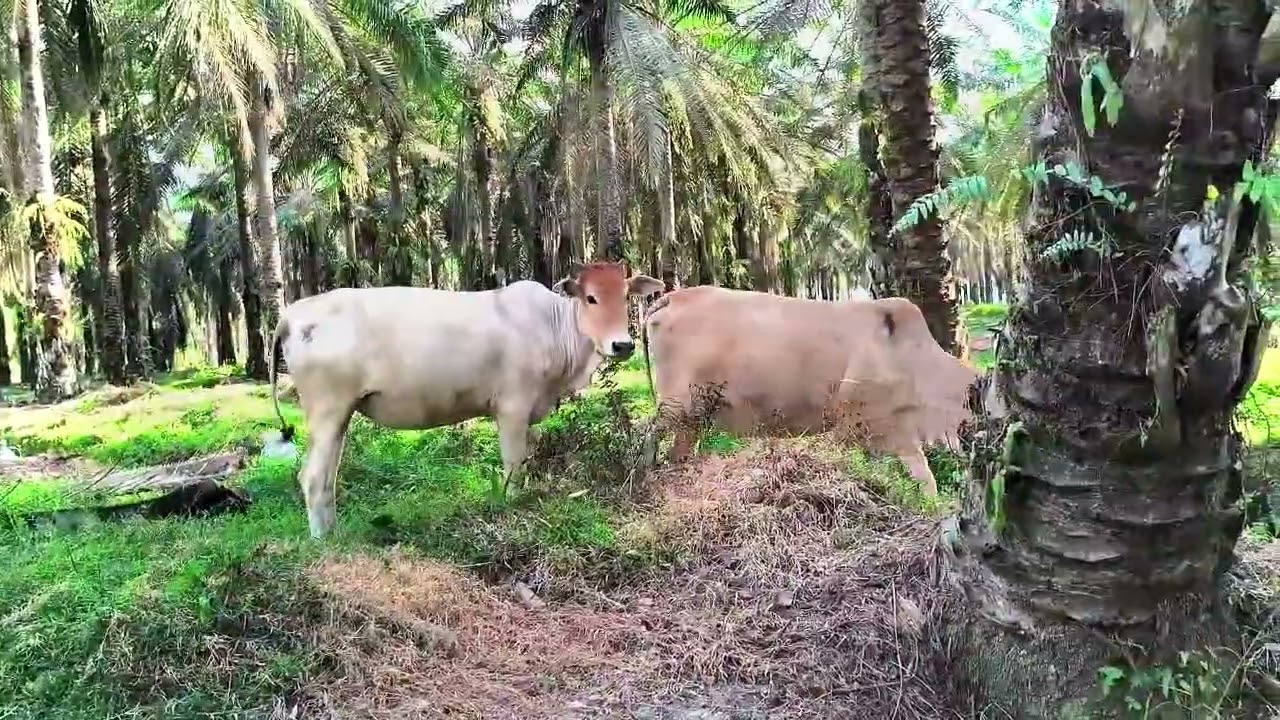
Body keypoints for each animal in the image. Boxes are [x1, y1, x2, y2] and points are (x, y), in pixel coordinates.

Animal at [269, 261, 666, 538]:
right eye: (591, 297)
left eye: (625, 296)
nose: (623, 344)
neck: (554, 327)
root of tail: (291, 315)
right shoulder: (512, 408)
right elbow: (514, 467)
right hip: (327, 408)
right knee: (313, 477)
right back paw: (323, 540)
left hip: (340, 416)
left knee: (327, 477)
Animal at [640, 286, 977, 496]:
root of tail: (671, 298)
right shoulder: (862, 423)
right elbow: (924, 478)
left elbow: (923, 478)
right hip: (675, 405)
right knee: (648, 440)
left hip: (693, 417)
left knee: (678, 453)